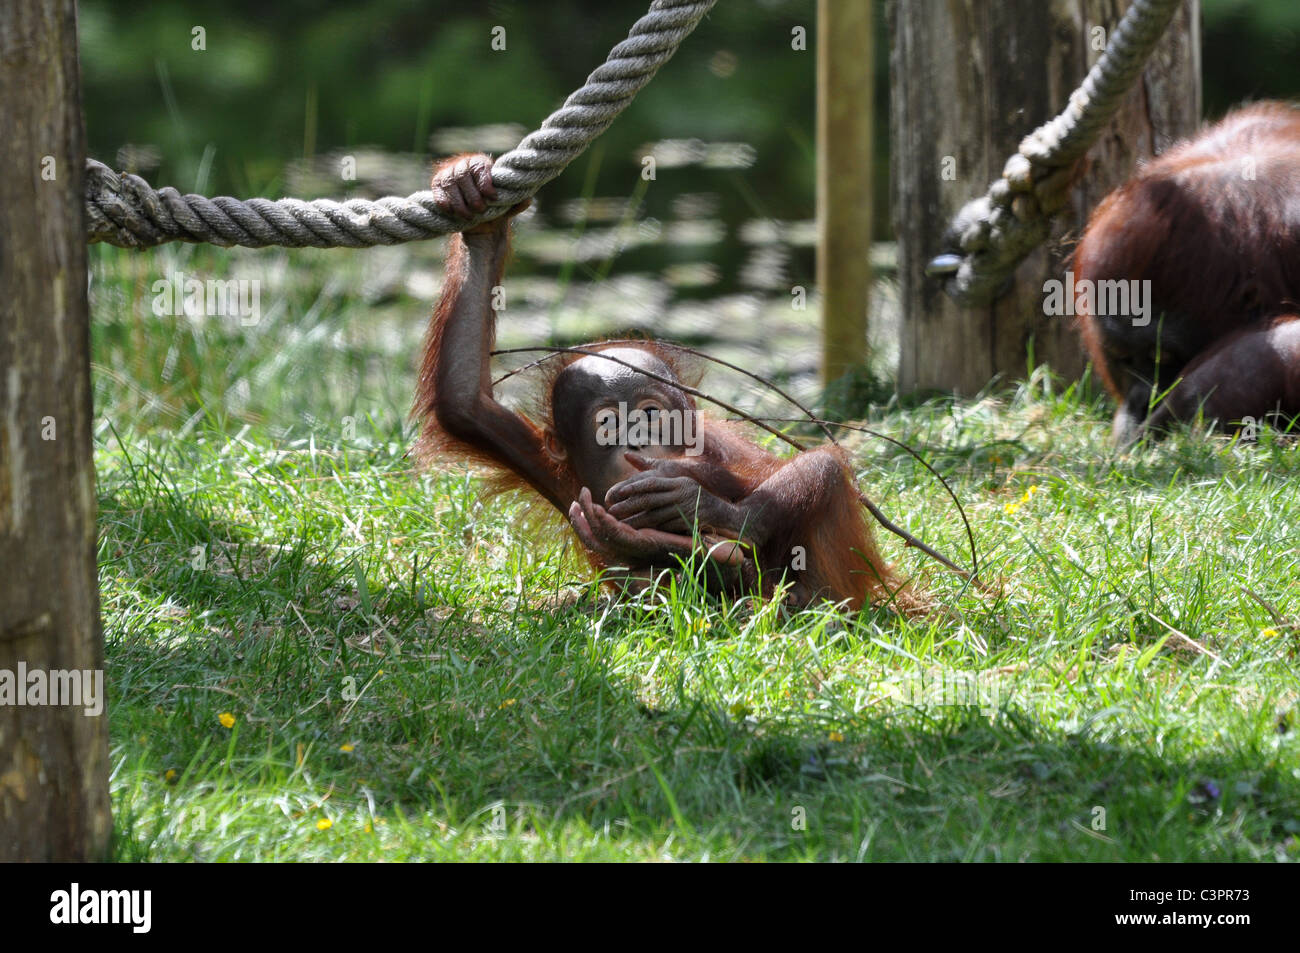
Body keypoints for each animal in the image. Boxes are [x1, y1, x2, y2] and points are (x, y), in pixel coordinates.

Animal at [412, 153, 924, 613]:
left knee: (825, 478)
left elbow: (797, 467)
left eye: (652, 414)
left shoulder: (716, 445)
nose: (639, 440)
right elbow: (463, 403)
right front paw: (471, 202)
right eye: (608, 423)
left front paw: (694, 500)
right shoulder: (549, 463)